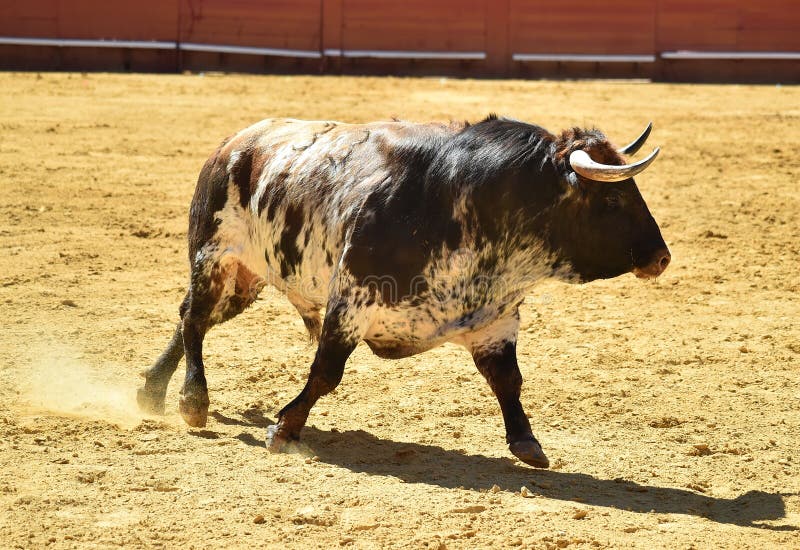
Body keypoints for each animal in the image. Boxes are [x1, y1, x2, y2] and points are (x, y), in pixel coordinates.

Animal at [136, 115, 670, 469]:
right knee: (194, 320)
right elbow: (325, 373)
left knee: (190, 318)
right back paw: (192, 400)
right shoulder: (349, 301)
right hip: (213, 257)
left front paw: (526, 442)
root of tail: (234, 143)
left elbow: (508, 381)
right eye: (613, 197)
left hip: (245, 278)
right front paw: (284, 428)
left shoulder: (496, 319)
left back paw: (152, 389)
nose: (662, 257)